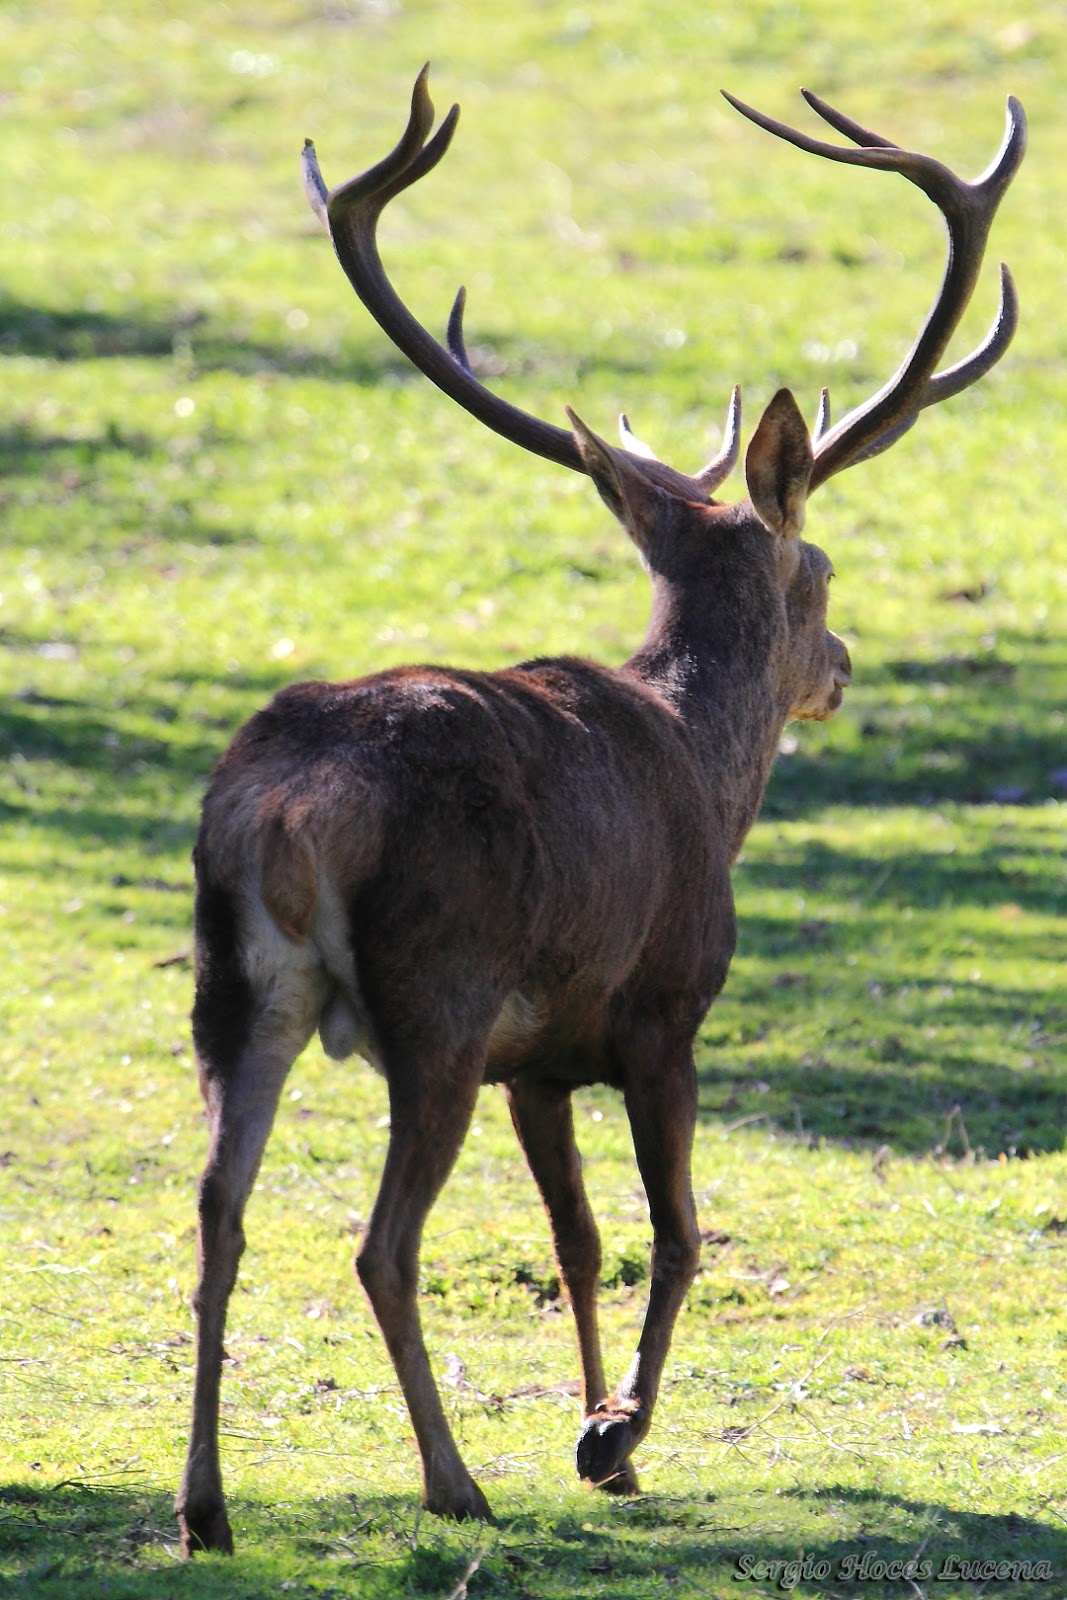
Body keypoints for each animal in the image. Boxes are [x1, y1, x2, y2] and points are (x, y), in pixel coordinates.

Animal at [175, 69, 1024, 1554]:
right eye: (819, 569)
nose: (840, 667)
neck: (706, 769)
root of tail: (282, 808)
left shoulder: (540, 1055)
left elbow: (575, 1240)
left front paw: (600, 1439)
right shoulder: (661, 1008)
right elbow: (676, 1231)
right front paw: (616, 1431)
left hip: (235, 983)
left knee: (218, 1210)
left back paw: (204, 1507)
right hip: (436, 995)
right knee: (380, 1242)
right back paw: (450, 1483)